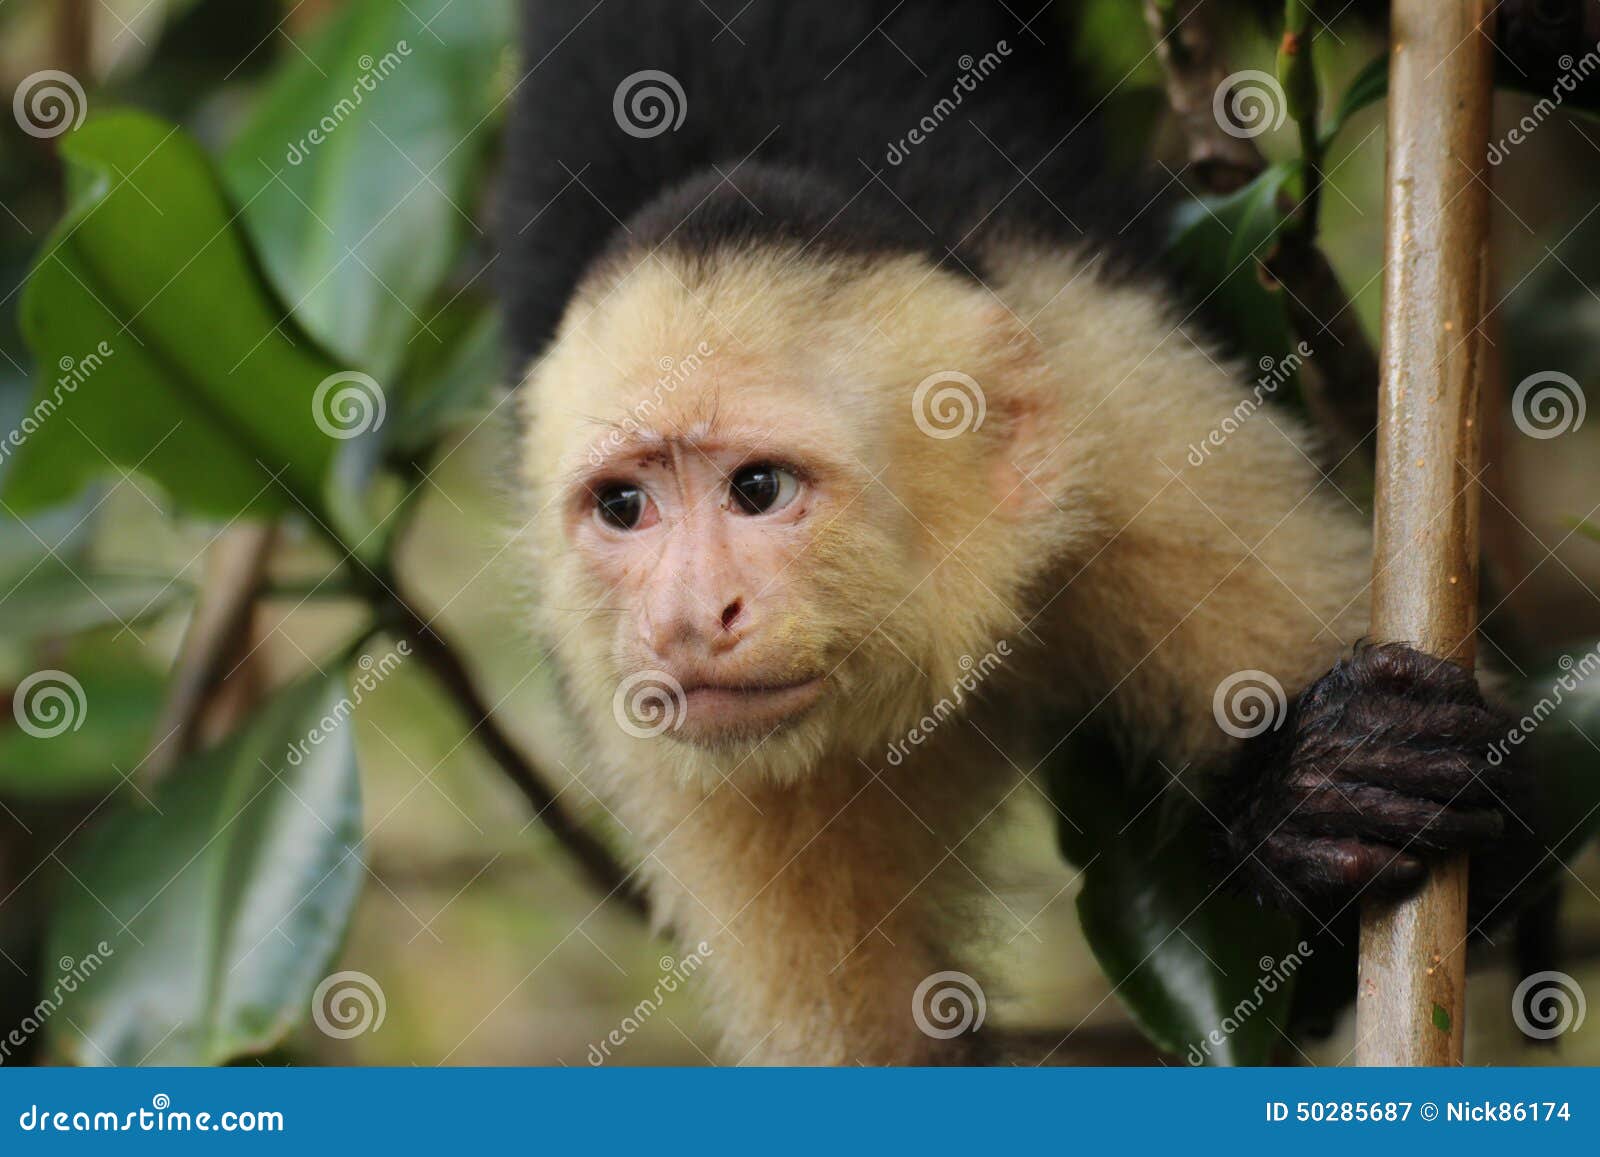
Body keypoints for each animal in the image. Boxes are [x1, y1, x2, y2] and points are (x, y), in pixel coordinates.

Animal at [499, 1, 1547, 1065]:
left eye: (759, 488)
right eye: (624, 507)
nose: (683, 618)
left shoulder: (1122, 409)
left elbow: (1501, 849)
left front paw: (1328, 783)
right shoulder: (673, 747)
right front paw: (1315, 805)